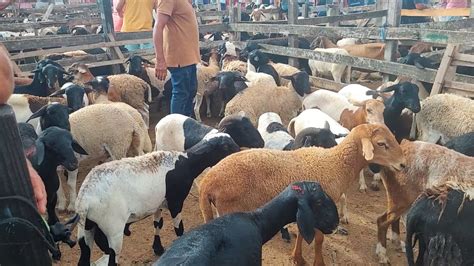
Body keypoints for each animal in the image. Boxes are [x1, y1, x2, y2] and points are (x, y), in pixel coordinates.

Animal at [77, 133, 241, 264]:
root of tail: (84, 199)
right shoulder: (175, 202)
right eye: (226, 146)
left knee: (85, 258)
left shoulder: (157, 204)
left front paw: (158, 248)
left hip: (87, 229)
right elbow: (179, 229)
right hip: (113, 229)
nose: (240, 152)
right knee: (111, 258)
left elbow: (158, 224)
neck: (186, 163)